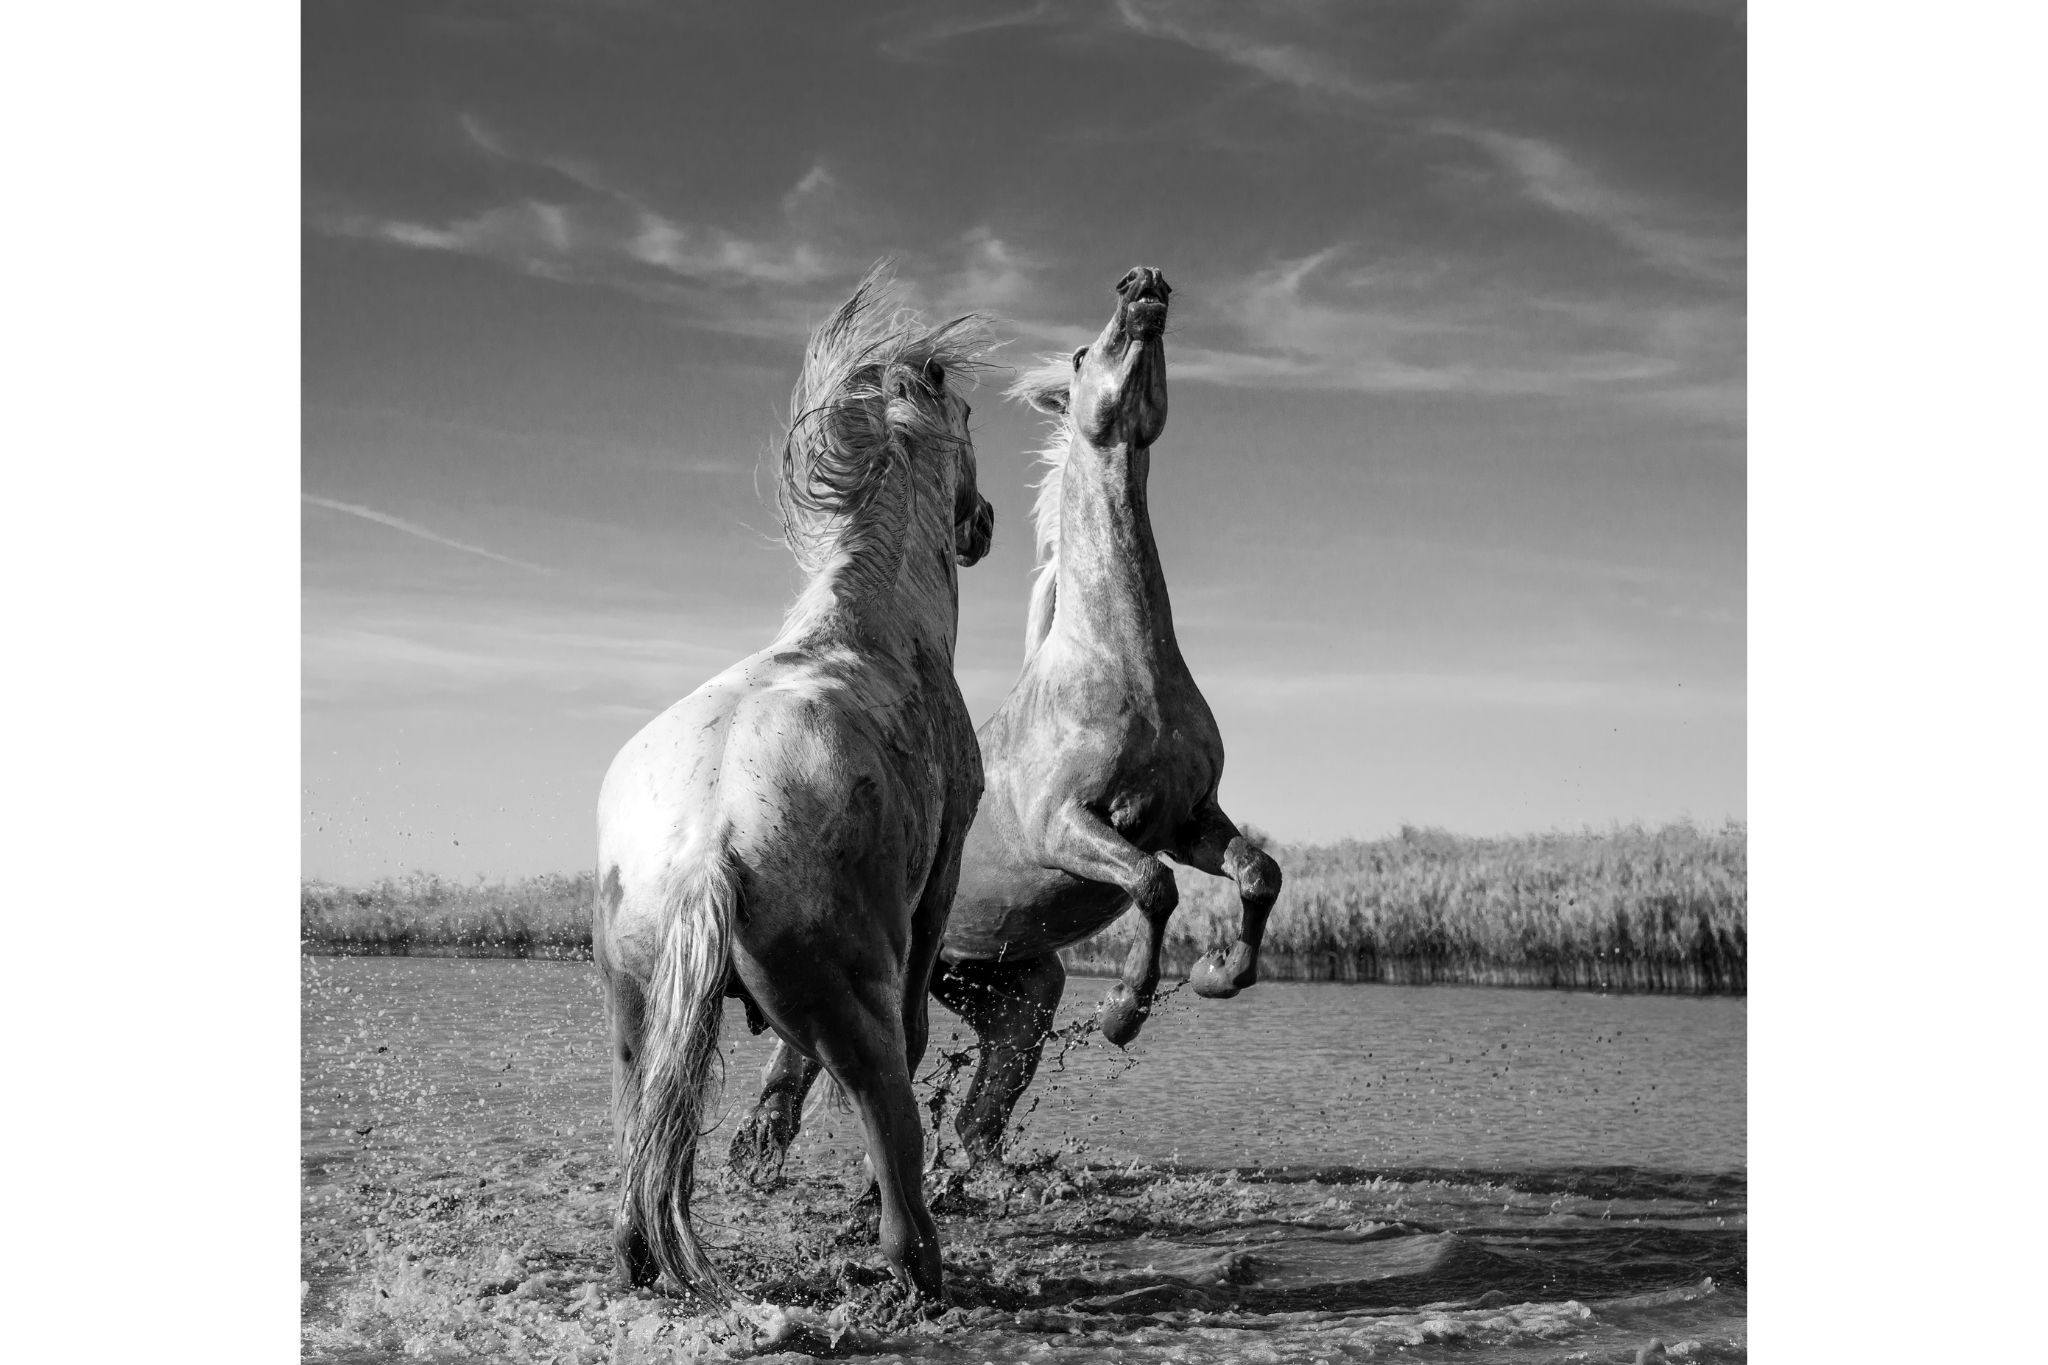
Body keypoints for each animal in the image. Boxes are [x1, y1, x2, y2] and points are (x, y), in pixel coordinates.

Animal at [593, 263, 996, 1300]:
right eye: (969, 418)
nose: (979, 524)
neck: (875, 621)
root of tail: (708, 841)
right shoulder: (940, 877)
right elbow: (913, 1029)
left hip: (638, 1014)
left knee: (642, 1170)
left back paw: (646, 1257)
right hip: (852, 1006)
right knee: (893, 1148)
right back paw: (924, 1271)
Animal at [730, 267, 1283, 1175]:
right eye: (1083, 353)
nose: (1144, 285)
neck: (1121, 664)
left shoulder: (1189, 816)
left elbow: (1256, 871)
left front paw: (1218, 974)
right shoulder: (1072, 823)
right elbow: (1154, 885)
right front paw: (1123, 1012)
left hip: (1011, 989)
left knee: (976, 1117)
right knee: (796, 1074)